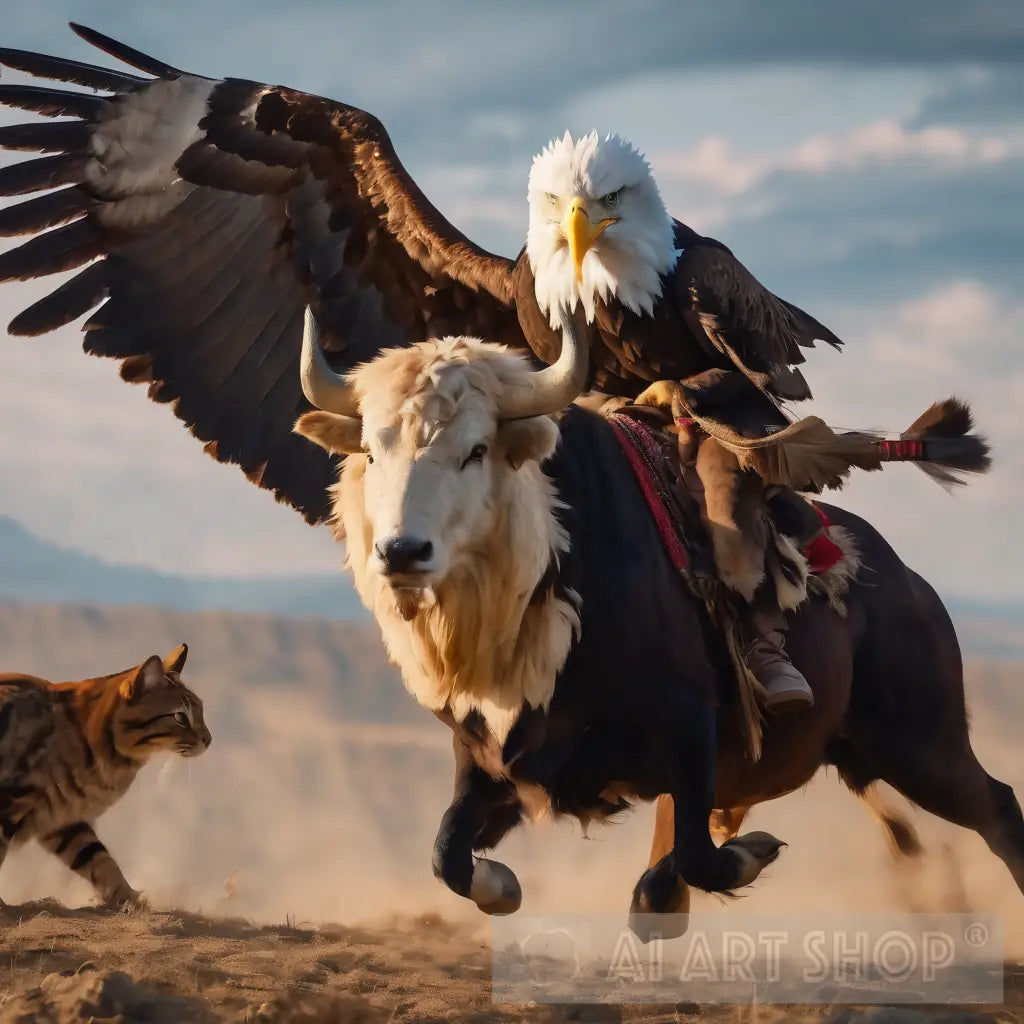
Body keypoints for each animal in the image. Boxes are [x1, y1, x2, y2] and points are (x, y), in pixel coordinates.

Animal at [292, 307, 1024, 935]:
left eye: (475, 449)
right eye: (372, 451)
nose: (402, 553)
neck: (557, 560)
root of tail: (908, 584)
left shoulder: (689, 721)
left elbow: (702, 848)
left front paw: (745, 856)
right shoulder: (496, 756)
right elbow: (447, 853)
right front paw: (502, 885)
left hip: (920, 741)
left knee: (998, 809)